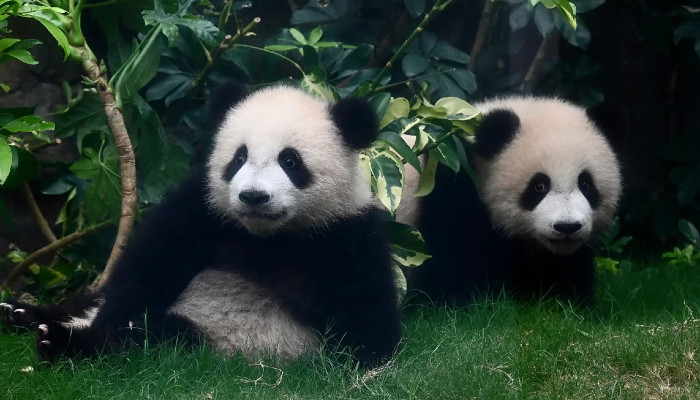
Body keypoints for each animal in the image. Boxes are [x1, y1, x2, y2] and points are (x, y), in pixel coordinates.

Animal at [0, 83, 401, 366]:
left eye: (290, 161)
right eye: (238, 158)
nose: (253, 197)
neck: (266, 237)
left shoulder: (345, 235)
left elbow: (367, 332)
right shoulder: (205, 210)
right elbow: (150, 264)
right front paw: (113, 315)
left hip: (213, 335)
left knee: (157, 339)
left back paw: (63, 341)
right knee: (90, 300)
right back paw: (21, 313)